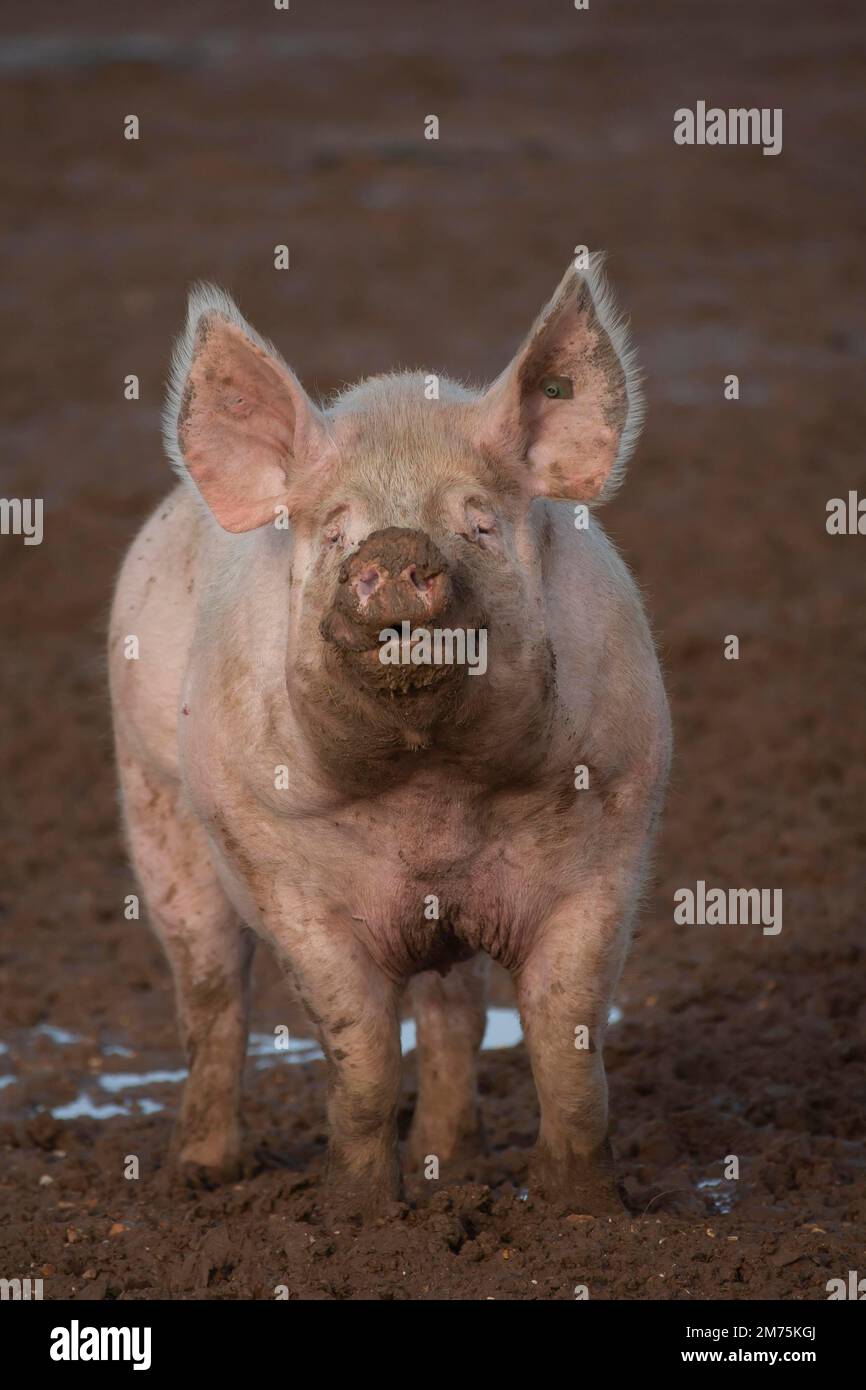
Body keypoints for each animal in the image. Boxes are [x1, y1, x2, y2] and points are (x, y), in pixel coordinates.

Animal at [108, 255, 671, 1217]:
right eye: (337, 532)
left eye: (479, 523)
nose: (398, 546)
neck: (431, 791)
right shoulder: (285, 875)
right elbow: (361, 1052)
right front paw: (359, 1218)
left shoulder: (611, 838)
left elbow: (565, 1039)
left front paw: (588, 1213)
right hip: (155, 803)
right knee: (212, 994)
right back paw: (204, 1174)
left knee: (454, 1012)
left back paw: (460, 1165)